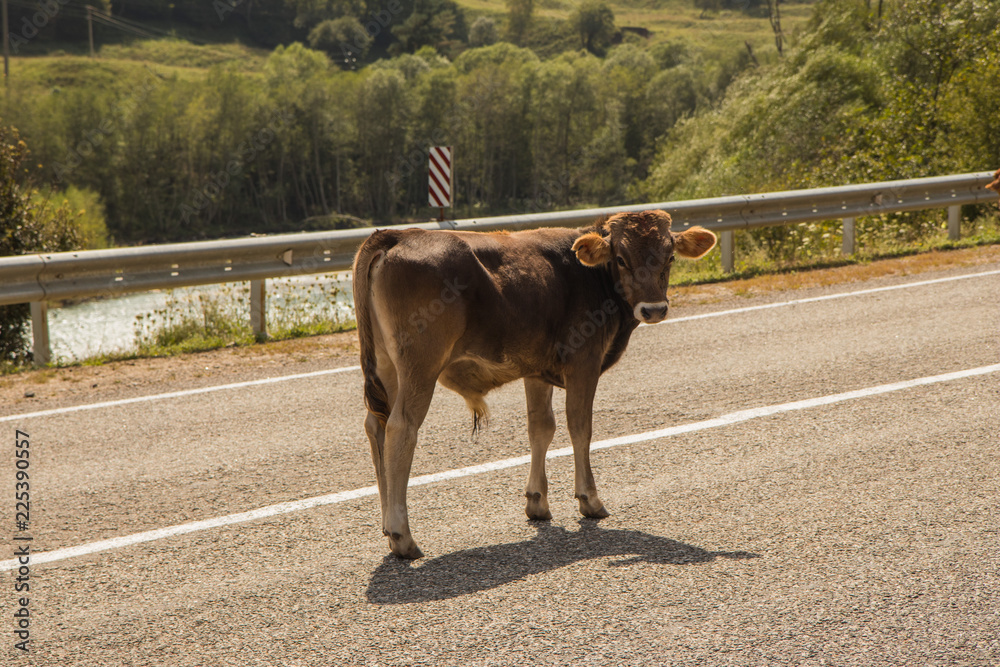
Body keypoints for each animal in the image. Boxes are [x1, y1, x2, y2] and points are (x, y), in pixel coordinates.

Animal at [352, 210, 717, 559]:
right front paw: (589, 499)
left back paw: (387, 528)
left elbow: (541, 427)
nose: (653, 309)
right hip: (419, 366)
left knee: (376, 426)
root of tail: (398, 234)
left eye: (670, 256)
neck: (590, 276)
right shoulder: (583, 362)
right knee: (401, 428)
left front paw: (537, 502)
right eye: (622, 257)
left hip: (386, 366)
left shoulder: (535, 370)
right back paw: (402, 536)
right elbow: (580, 427)